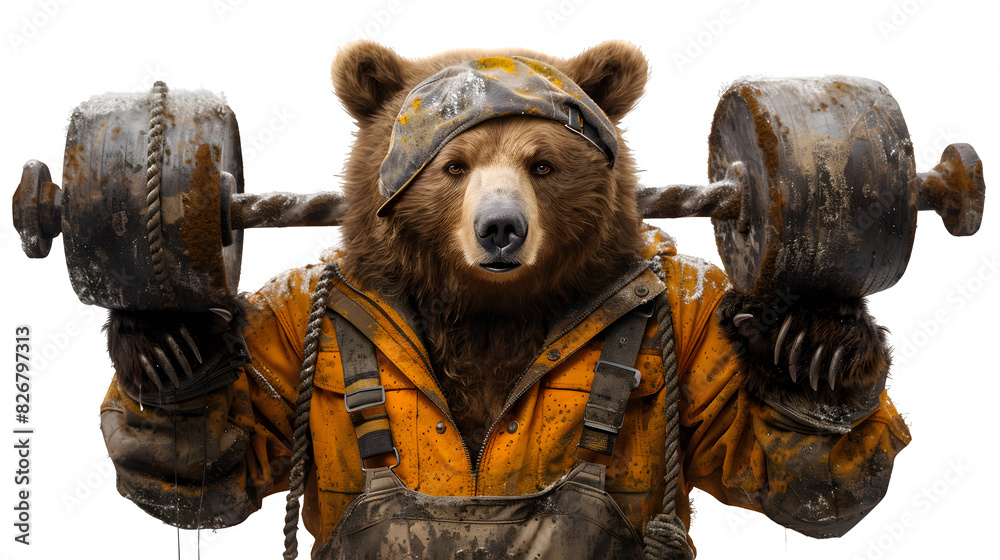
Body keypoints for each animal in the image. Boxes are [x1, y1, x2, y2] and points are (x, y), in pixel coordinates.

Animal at [100, 40, 911, 559]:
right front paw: (172, 347)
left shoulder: (691, 315)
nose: (499, 228)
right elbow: (213, 466)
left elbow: (788, 468)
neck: (488, 311)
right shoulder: (302, 316)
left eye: (543, 163)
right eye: (452, 165)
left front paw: (816, 346)